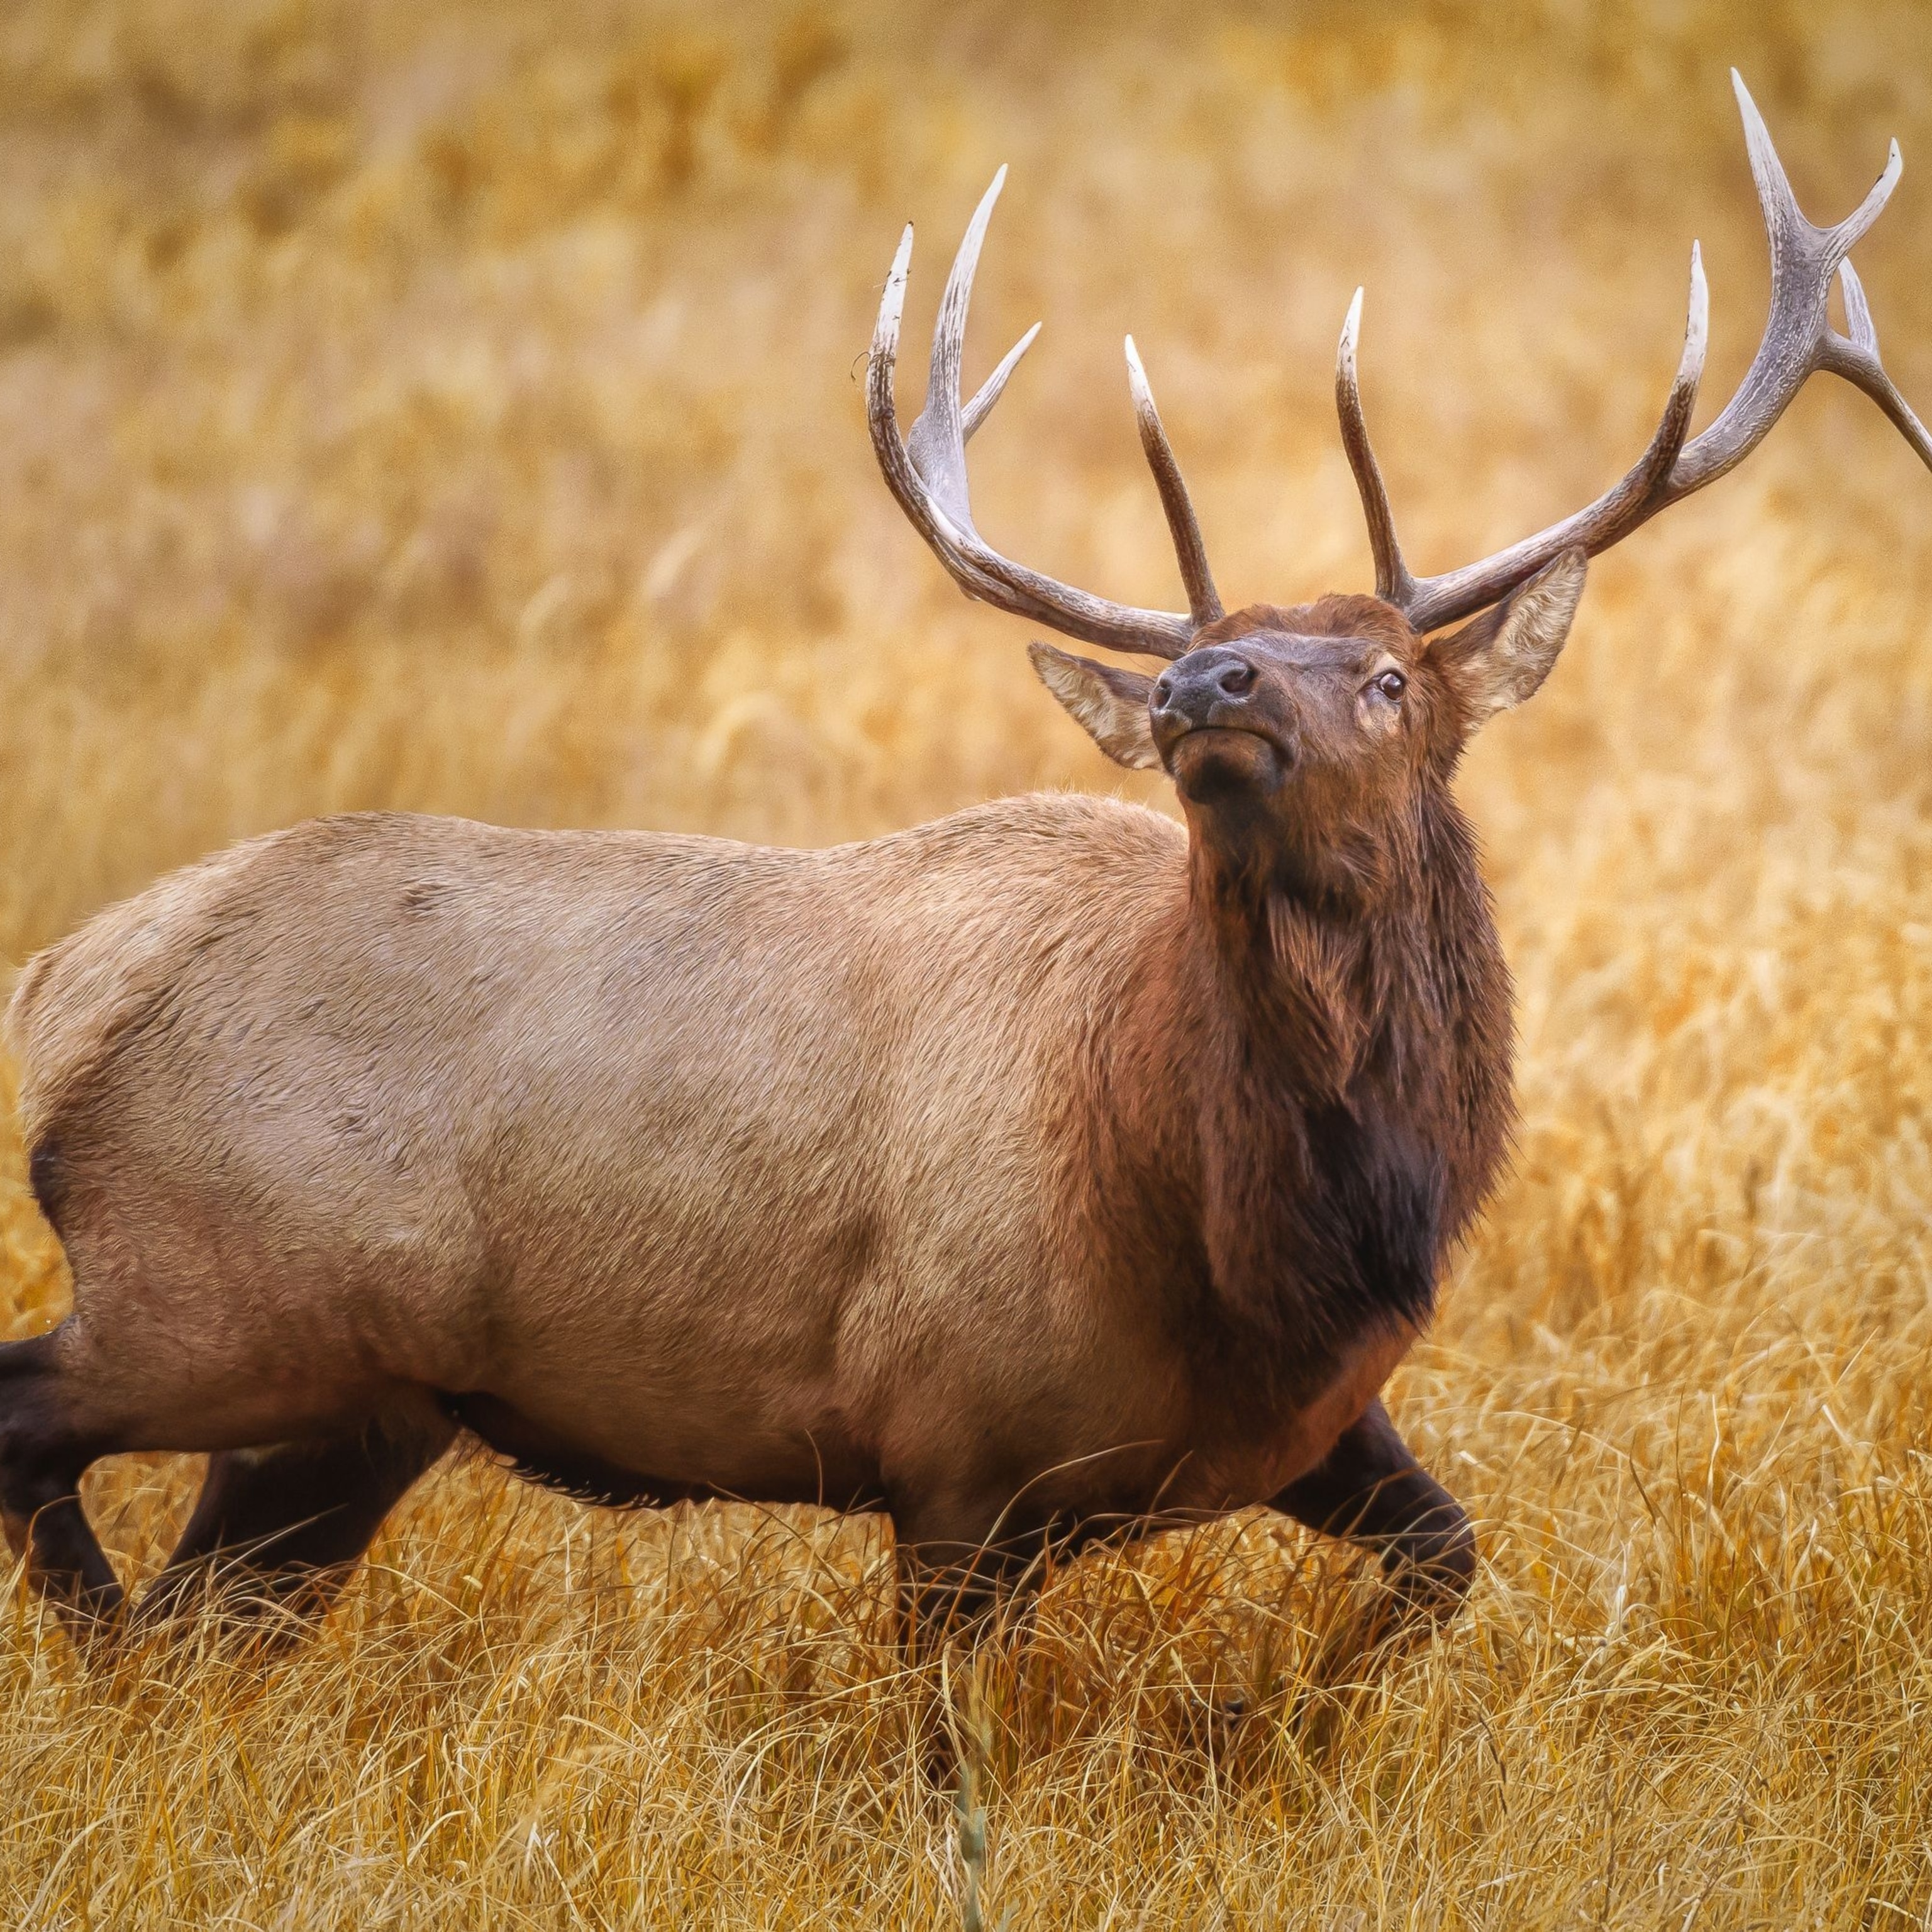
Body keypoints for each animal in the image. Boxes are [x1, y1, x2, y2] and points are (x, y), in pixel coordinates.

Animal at [1, 75, 1926, 1660]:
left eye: (1387, 674)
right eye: (1220, 651)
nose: (1202, 684)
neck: (1239, 1239)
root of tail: (73, 983)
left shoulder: (1308, 1425)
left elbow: (1442, 1565)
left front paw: (1284, 1722)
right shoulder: (944, 1447)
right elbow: (942, 1779)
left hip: (350, 1406)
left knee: (203, 1614)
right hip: (216, 1290)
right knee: (34, 1427)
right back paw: (84, 1661)